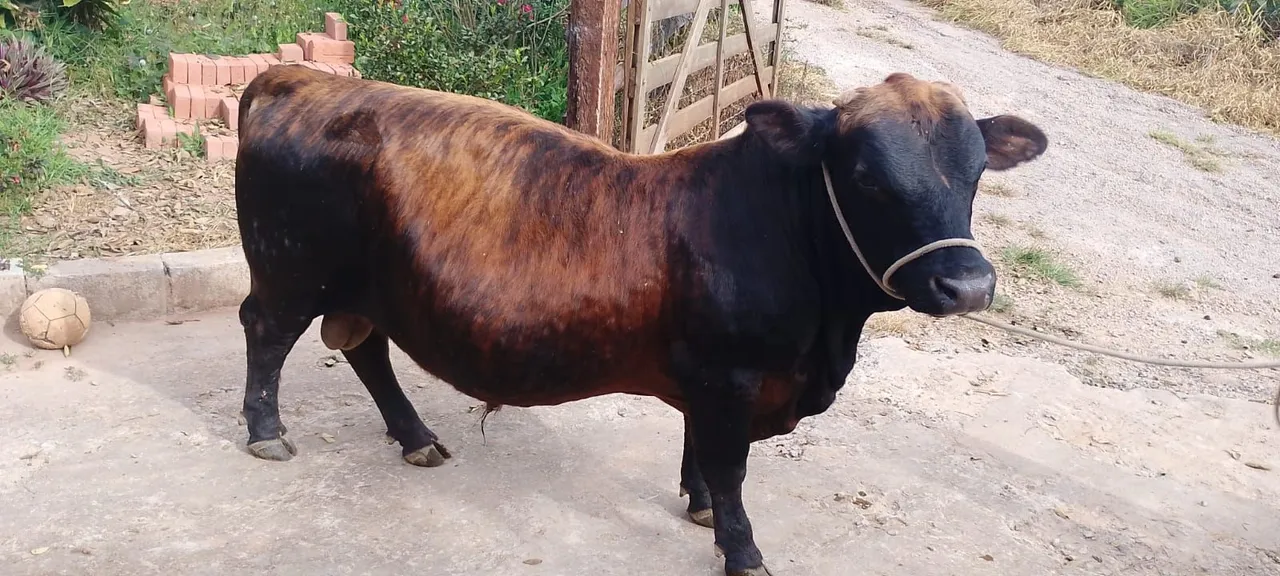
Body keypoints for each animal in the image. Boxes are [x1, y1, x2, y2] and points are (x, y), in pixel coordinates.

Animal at [233, 65, 1048, 575]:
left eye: (976, 173)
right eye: (866, 177)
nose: (968, 284)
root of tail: (295, 81)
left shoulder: (711, 382)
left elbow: (699, 452)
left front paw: (698, 504)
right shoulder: (731, 378)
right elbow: (730, 466)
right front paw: (742, 549)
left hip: (365, 292)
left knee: (368, 354)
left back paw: (416, 438)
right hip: (291, 275)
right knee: (266, 334)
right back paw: (267, 431)